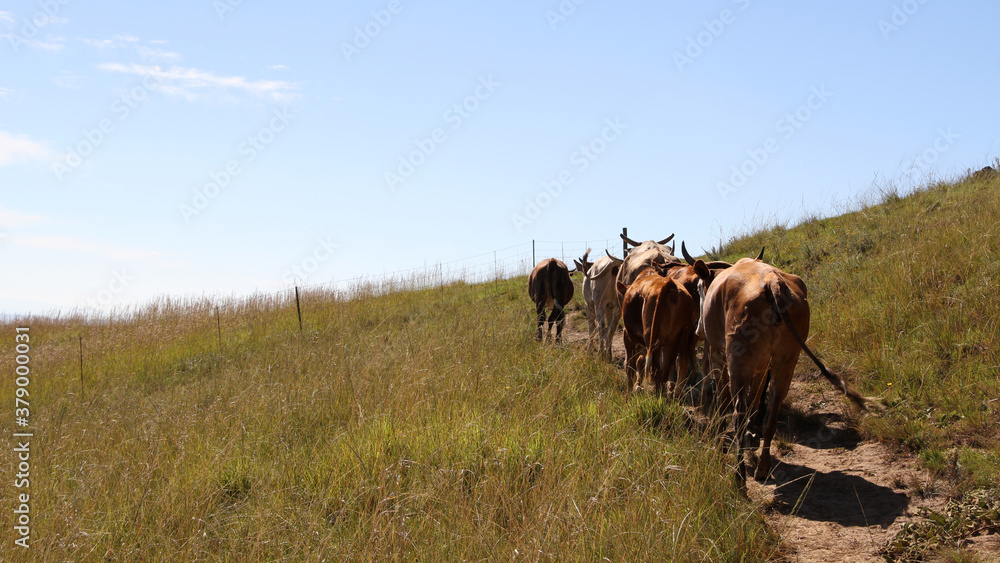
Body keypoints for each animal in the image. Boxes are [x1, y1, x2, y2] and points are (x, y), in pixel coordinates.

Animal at [617, 263, 703, 396]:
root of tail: (669, 284)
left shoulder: (627, 336)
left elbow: (630, 365)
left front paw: (629, 393)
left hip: (652, 338)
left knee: (657, 368)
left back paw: (658, 396)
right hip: (680, 336)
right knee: (675, 364)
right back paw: (671, 394)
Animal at [696, 258, 865, 487]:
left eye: (699, 288)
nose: (698, 330)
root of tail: (773, 282)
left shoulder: (718, 354)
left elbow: (724, 400)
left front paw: (721, 436)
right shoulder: (762, 365)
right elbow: (755, 398)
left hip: (739, 359)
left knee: (738, 413)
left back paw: (740, 477)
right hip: (786, 360)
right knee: (771, 416)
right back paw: (762, 468)